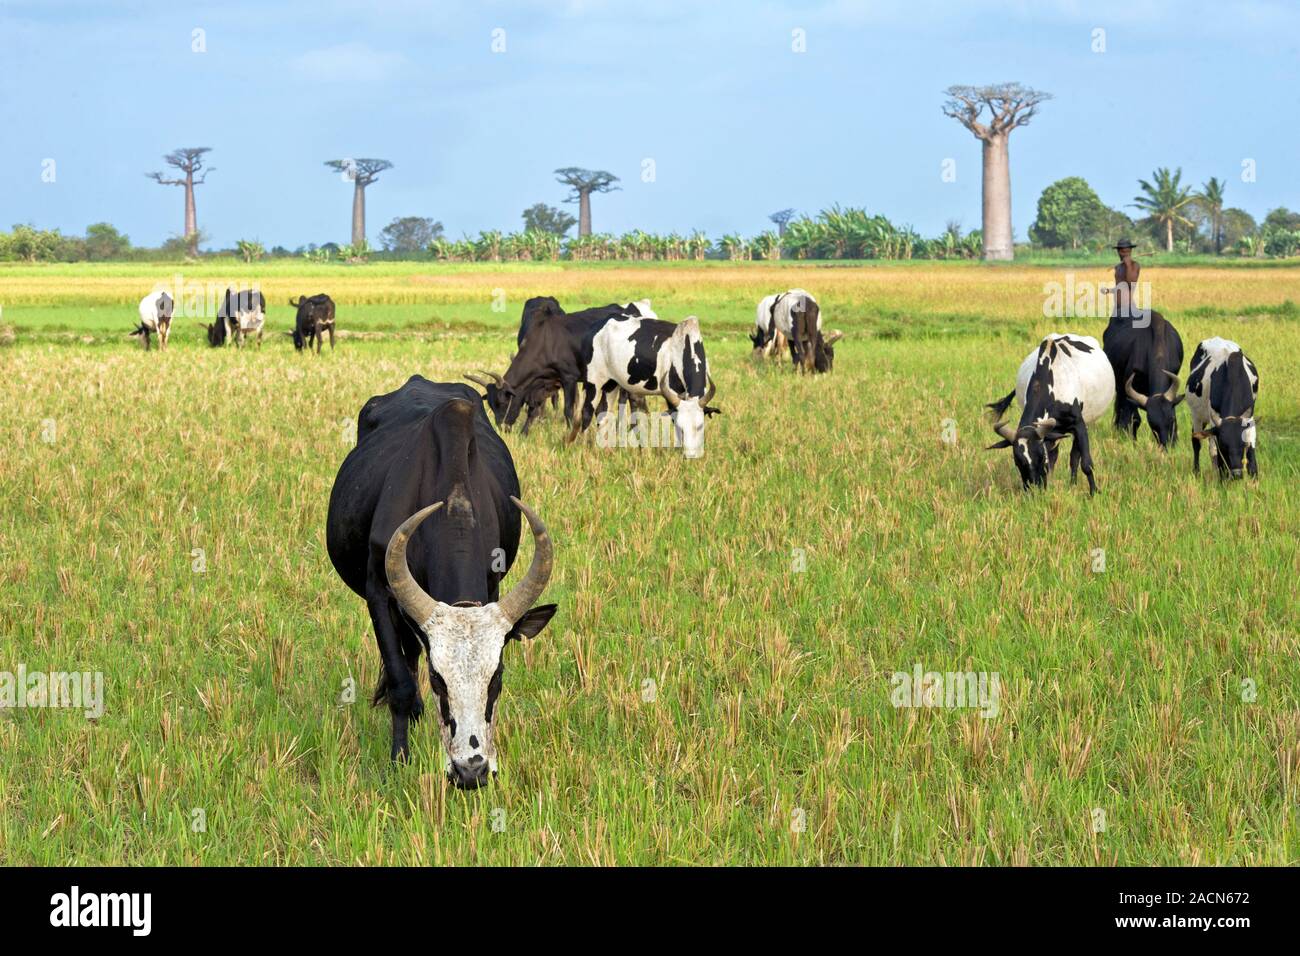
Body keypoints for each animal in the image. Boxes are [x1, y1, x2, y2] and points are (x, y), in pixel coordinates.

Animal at [325, 376, 557, 785]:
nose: (471, 771)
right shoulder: (379, 595)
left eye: (497, 676)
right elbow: (401, 680)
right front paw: (399, 758)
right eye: (438, 679)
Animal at [985, 334, 1115, 495]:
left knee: (1074, 456)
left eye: (1041, 457)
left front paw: (1094, 492)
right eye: (1018, 461)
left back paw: (1073, 484)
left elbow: (1086, 463)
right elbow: (1053, 460)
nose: (1034, 489)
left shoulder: (1079, 425)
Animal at [1183, 337, 1260, 479]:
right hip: (1197, 416)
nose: (1237, 474)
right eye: (1224, 446)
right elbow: (1218, 456)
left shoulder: (1249, 418)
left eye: (1243, 445)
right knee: (1197, 442)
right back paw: (1197, 472)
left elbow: (1251, 451)